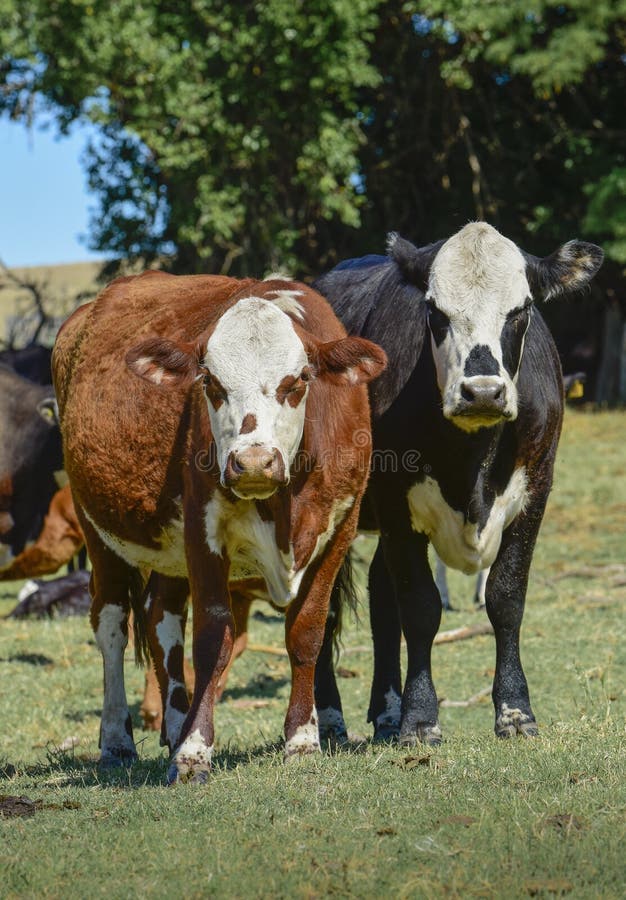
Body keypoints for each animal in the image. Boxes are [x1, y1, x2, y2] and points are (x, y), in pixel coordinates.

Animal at [53, 270, 386, 782]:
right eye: (209, 381)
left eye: (298, 380)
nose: (253, 462)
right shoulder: (202, 532)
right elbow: (213, 638)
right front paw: (194, 750)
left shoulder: (341, 530)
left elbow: (307, 632)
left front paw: (302, 739)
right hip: (97, 530)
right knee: (111, 624)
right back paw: (117, 740)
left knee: (162, 618)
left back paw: (173, 725)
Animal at [311, 222, 603, 745]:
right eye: (434, 311)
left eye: (522, 309)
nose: (482, 391)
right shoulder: (396, 503)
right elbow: (421, 607)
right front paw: (421, 720)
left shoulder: (535, 495)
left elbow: (505, 598)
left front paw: (515, 712)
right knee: (322, 607)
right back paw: (329, 721)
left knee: (381, 599)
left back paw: (386, 713)